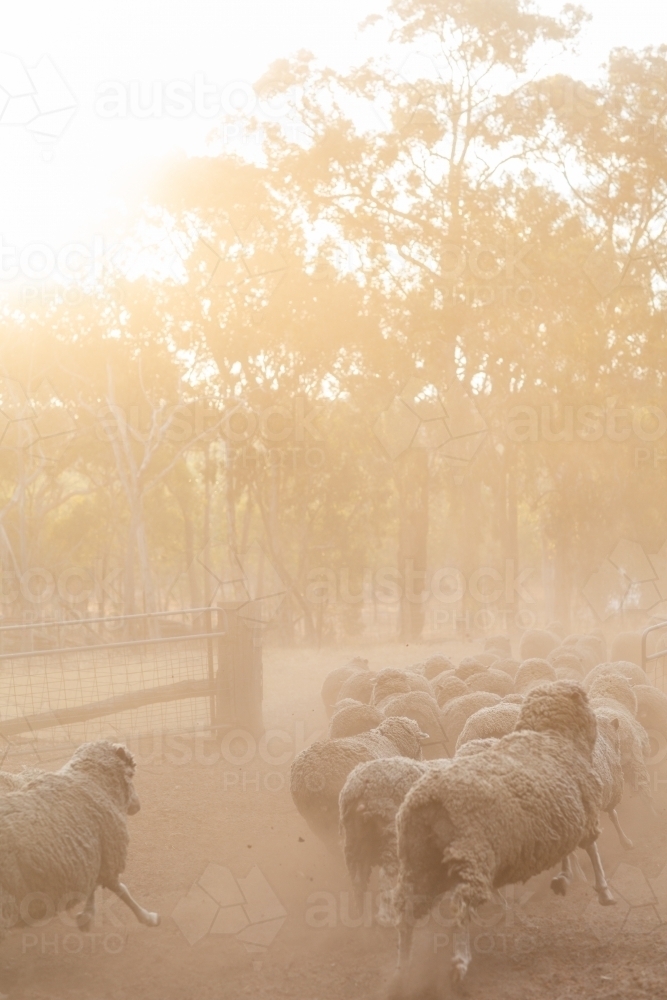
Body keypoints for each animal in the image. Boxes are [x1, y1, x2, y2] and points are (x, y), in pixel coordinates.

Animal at [0, 741, 159, 935]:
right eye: (130, 773)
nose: (137, 806)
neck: (94, 781)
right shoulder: (108, 854)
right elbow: (121, 890)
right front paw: (148, 917)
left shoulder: (88, 853)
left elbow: (94, 886)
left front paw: (87, 916)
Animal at [391, 681, 612, 990]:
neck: (552, 736)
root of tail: (428, 799)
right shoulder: (586, 814)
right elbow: (592, 851)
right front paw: (603, 891)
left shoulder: (563, 816)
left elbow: (568, 851)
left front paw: (564, 878)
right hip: (472, 855)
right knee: (459, 906)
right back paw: (459, 962)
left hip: (419, 862)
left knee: (406, 914)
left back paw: (402, 972)